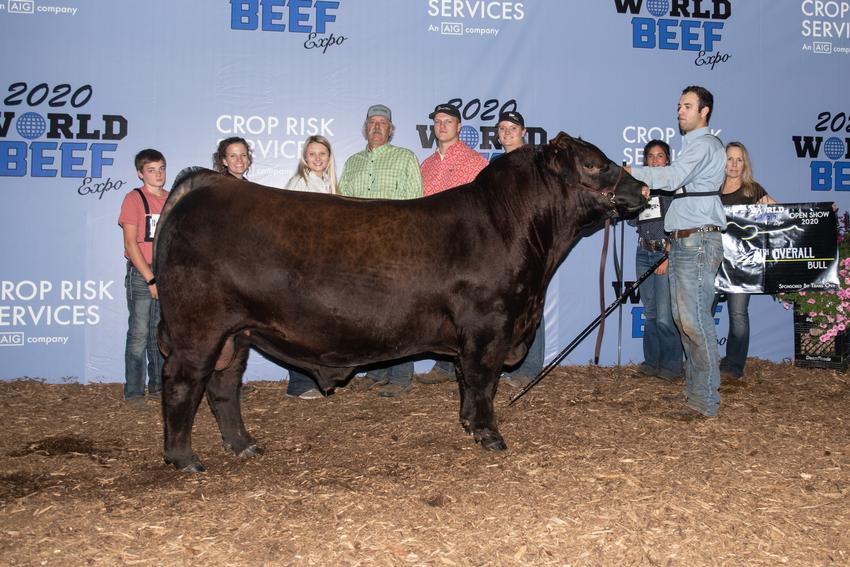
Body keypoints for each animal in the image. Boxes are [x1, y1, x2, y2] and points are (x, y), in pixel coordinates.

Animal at [154, 132, 647, 472]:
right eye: (594, 164)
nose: (643, 190)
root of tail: (209, 183)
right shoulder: (488, 325)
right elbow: (483, 381)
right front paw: (490, 436)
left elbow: (467, 382)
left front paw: (468, 424)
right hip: (199, 327)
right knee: (183, 382)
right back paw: (184, 458)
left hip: (237, 333)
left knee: (223, 386)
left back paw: (244, 445)